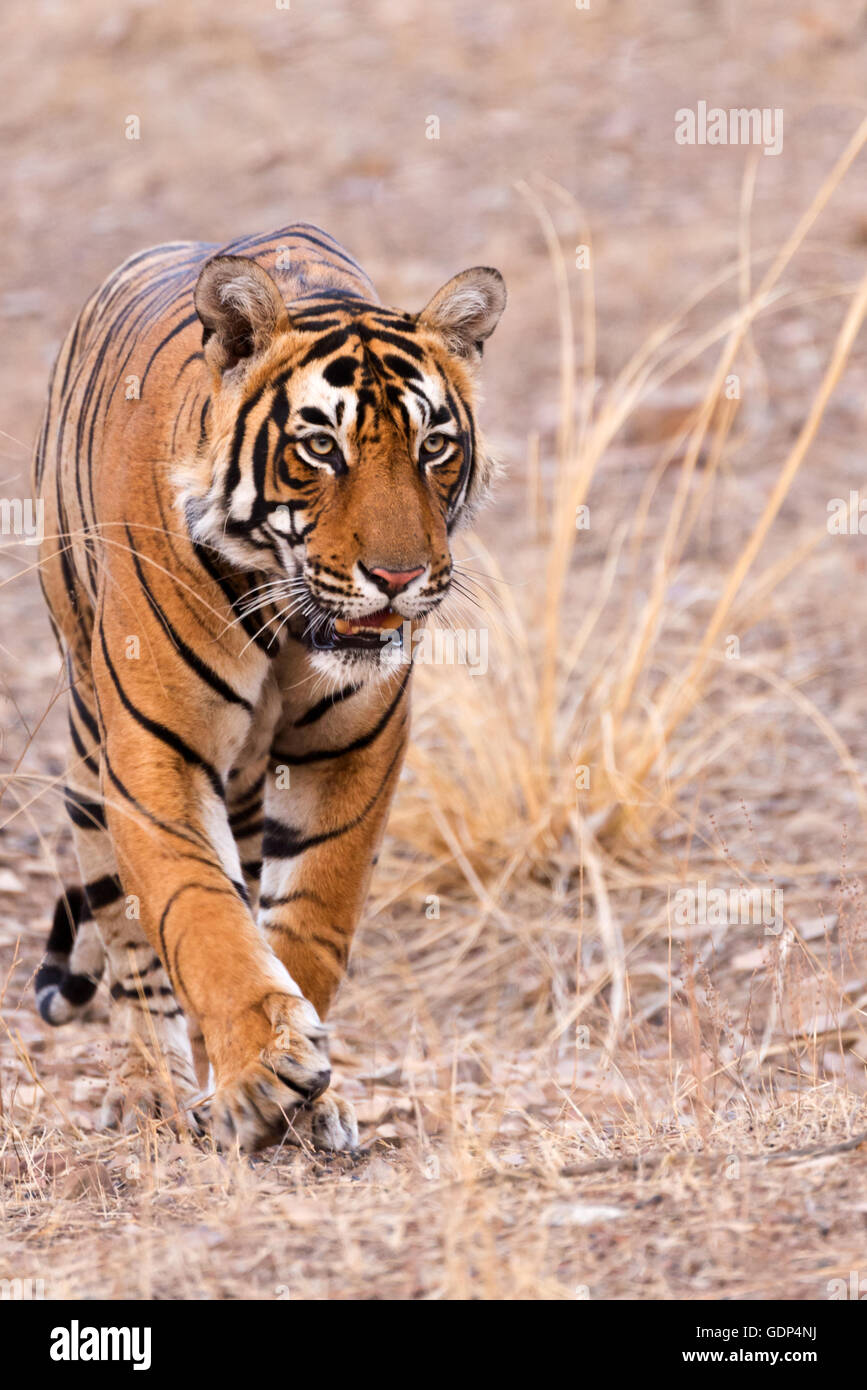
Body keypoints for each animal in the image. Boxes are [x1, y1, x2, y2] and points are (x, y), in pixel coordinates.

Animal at [32, 223, 505, 1151]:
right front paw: (261, 1075)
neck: (288, 622)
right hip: (88, 755)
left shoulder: (354, 750)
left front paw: (302, 1095)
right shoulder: (156, 753)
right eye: (320, 447)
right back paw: (149, 1089)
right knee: (132, 951)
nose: (398, 578)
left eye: (433, 446)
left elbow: (310, 919)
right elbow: (200, 917)